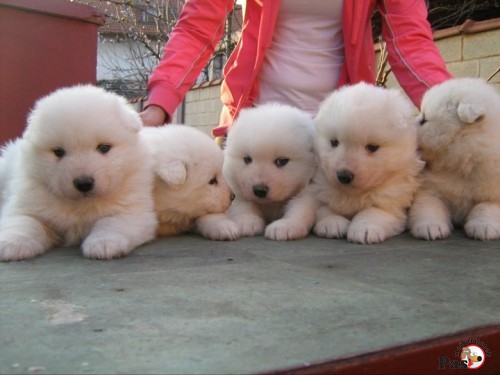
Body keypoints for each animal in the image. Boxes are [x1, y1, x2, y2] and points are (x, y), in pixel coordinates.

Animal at [0, 85, 157, 262]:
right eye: (58, 152)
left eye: (104, 147)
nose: (83, 183)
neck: (80, 205)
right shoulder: (26, 205)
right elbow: (24, 223)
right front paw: (12, 244)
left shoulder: (133, 210)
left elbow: (112, 223)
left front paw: (103, 244)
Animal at [198, 103, 316, 241]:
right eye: (247, 159)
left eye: (282, 161)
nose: (259, 190)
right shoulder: (237, 188)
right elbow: (243, 205)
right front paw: (246, 222)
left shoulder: (308, 190)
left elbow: (300, 208)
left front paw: (286, 226)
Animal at [312, 83, 422, 244]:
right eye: (334, 142)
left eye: (372, 147)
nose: (344, 176)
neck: (355, 195)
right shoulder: (324, 188)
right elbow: (325, 208)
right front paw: (332, 223)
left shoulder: (393, 199)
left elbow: (374, 211)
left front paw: (363, 229)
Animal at [408, 78, 500, 241]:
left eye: (424, 119)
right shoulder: (428, 188)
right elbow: (429, 205)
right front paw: (430, 227)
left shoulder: (494, 191)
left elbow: (486, 206)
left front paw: (483, 227)